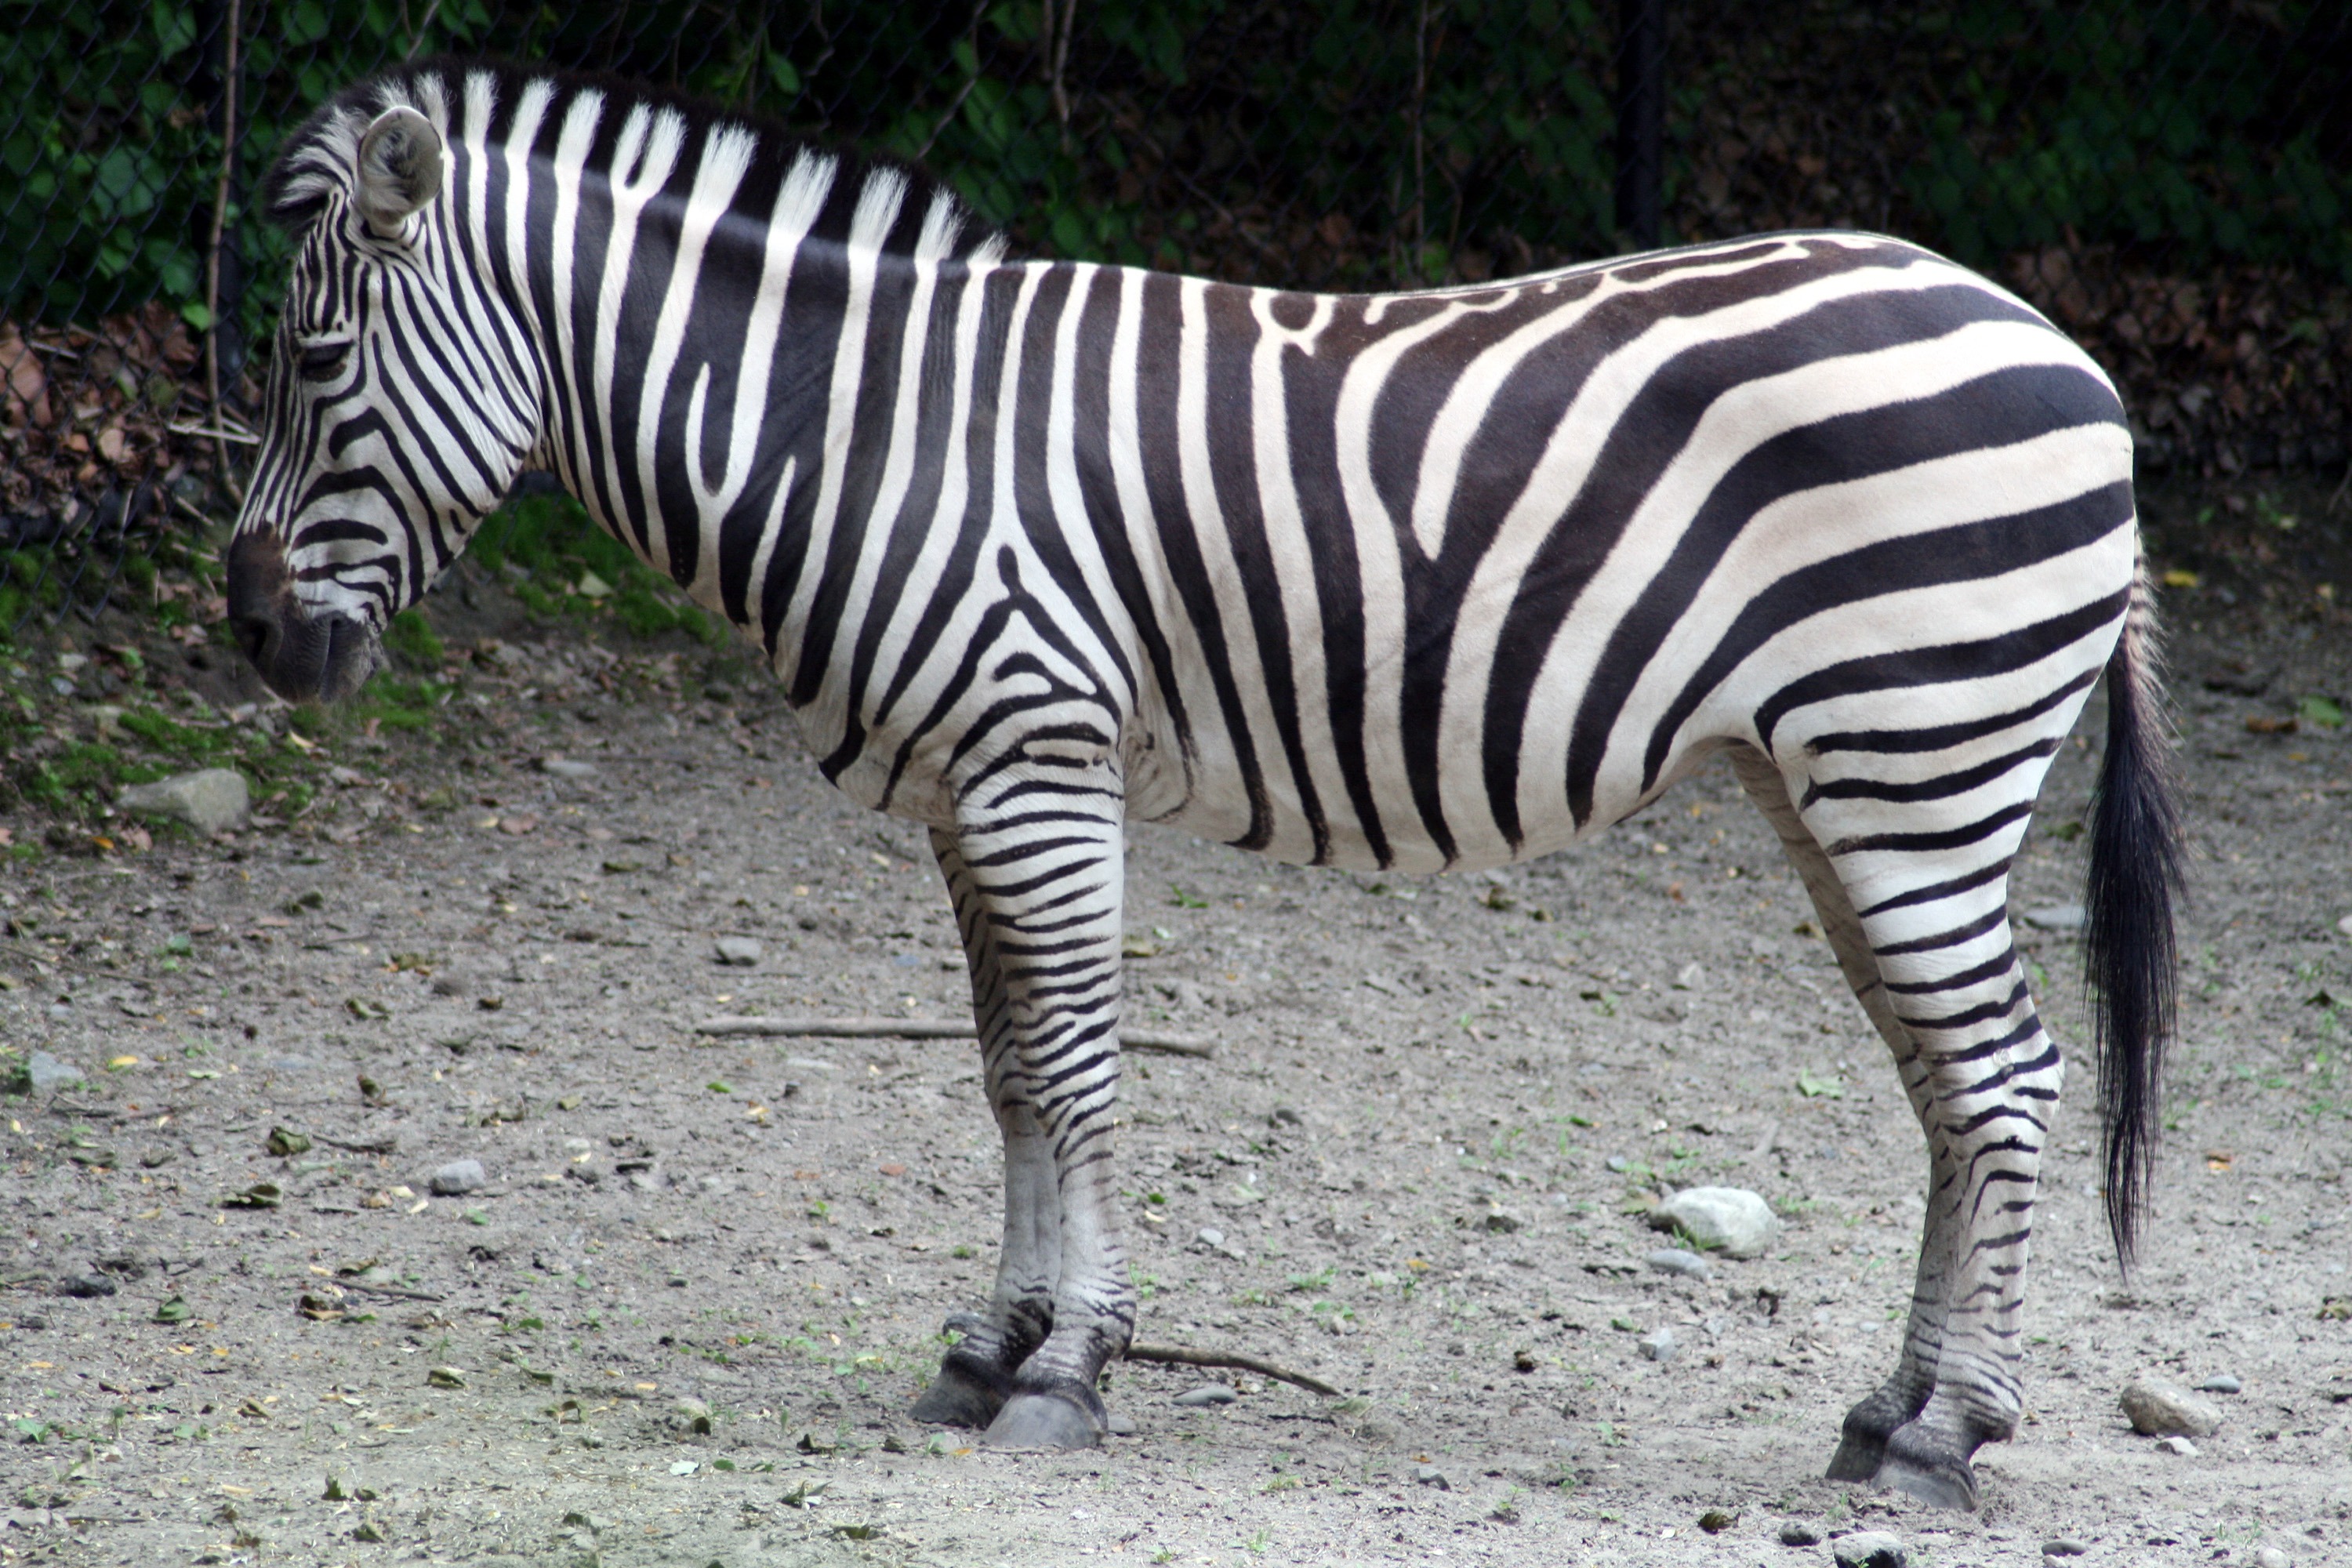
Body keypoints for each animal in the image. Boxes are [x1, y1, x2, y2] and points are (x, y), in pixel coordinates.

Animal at [222, 61, 2180, 1508]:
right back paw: (1890, 1413)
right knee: (1950, 1090)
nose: (245, 634)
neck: (854, 433)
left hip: (1918, 764)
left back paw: (1946, 1436)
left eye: (314, 365)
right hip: (1842, 784)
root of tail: (2074, 360)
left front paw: (1071, 1368)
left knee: (2008, 1076)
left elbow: (1082, 1068)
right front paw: (991, 1346)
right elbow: (1011, 1071)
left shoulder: (1036, 760)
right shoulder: (973, 787)